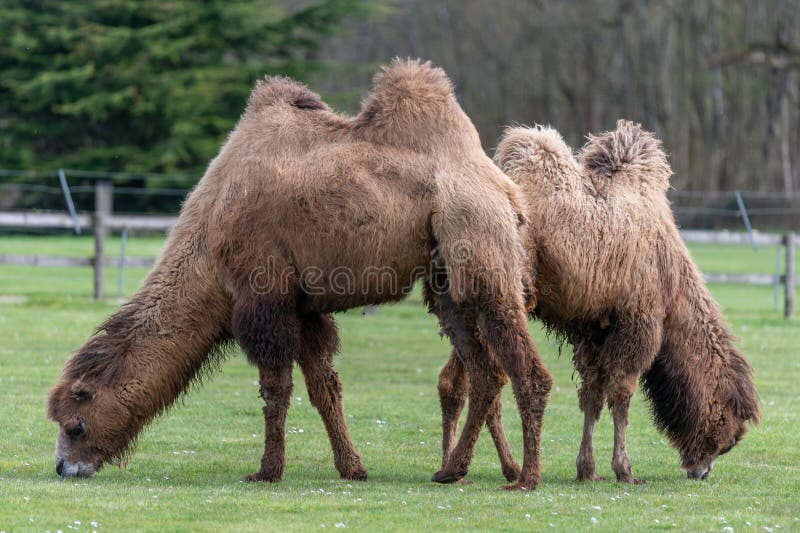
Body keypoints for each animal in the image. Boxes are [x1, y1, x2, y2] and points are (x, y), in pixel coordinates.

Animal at [47, 59, 552, 490]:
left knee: (526, 369)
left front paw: (266, 471)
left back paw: (524, 478)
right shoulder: (304, 305)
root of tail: (505, 190)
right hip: (447, 280)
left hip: (478, 244)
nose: (63, 468)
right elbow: (324, 387)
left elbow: (276, 389)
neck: (209, 244)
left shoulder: (264, 295)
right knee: (485, 371)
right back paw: (451, 470)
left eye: (75, 424)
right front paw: (352, 468)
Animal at [437, 120, 759, 484]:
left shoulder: (594, 328)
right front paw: (624, 470)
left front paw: (587, 469)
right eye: (729, 437)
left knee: (458, 380)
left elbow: (592, 394)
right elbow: (620, 393)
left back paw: (466, 465)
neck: (673, 285)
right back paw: (491, 467)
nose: (701, 471)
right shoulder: (638, 322)